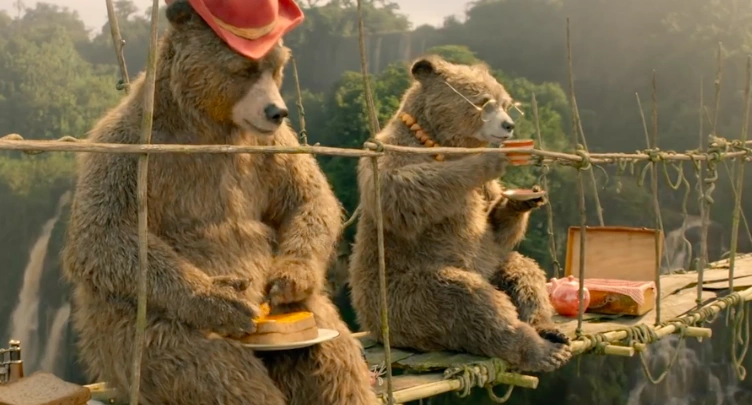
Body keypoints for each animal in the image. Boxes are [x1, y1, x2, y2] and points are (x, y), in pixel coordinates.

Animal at [60, 1, 378, 404]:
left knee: (332, 357)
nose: (277, 111)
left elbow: (307, 197)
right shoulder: (128, 147)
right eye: (244, 70)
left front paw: (291, 277)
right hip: (136, 341)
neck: (206, 125)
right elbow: (104, 237)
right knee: (214, 370)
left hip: (315, 324)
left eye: (276, 68)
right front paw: (219, 300)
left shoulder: (268, 149)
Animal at [348, 55, 572, 373]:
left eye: (506, 103)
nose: (509, 125)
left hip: (488, 265)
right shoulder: (391, 154)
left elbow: (495, 226)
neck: (439, 138)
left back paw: (548, 329)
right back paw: (538, 349)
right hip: (403, 299)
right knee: (468, 300)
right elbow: (402, 191)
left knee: (523, 271)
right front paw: (488, 161)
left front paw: (521, 201)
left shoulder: (486, 197)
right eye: (484, 102)